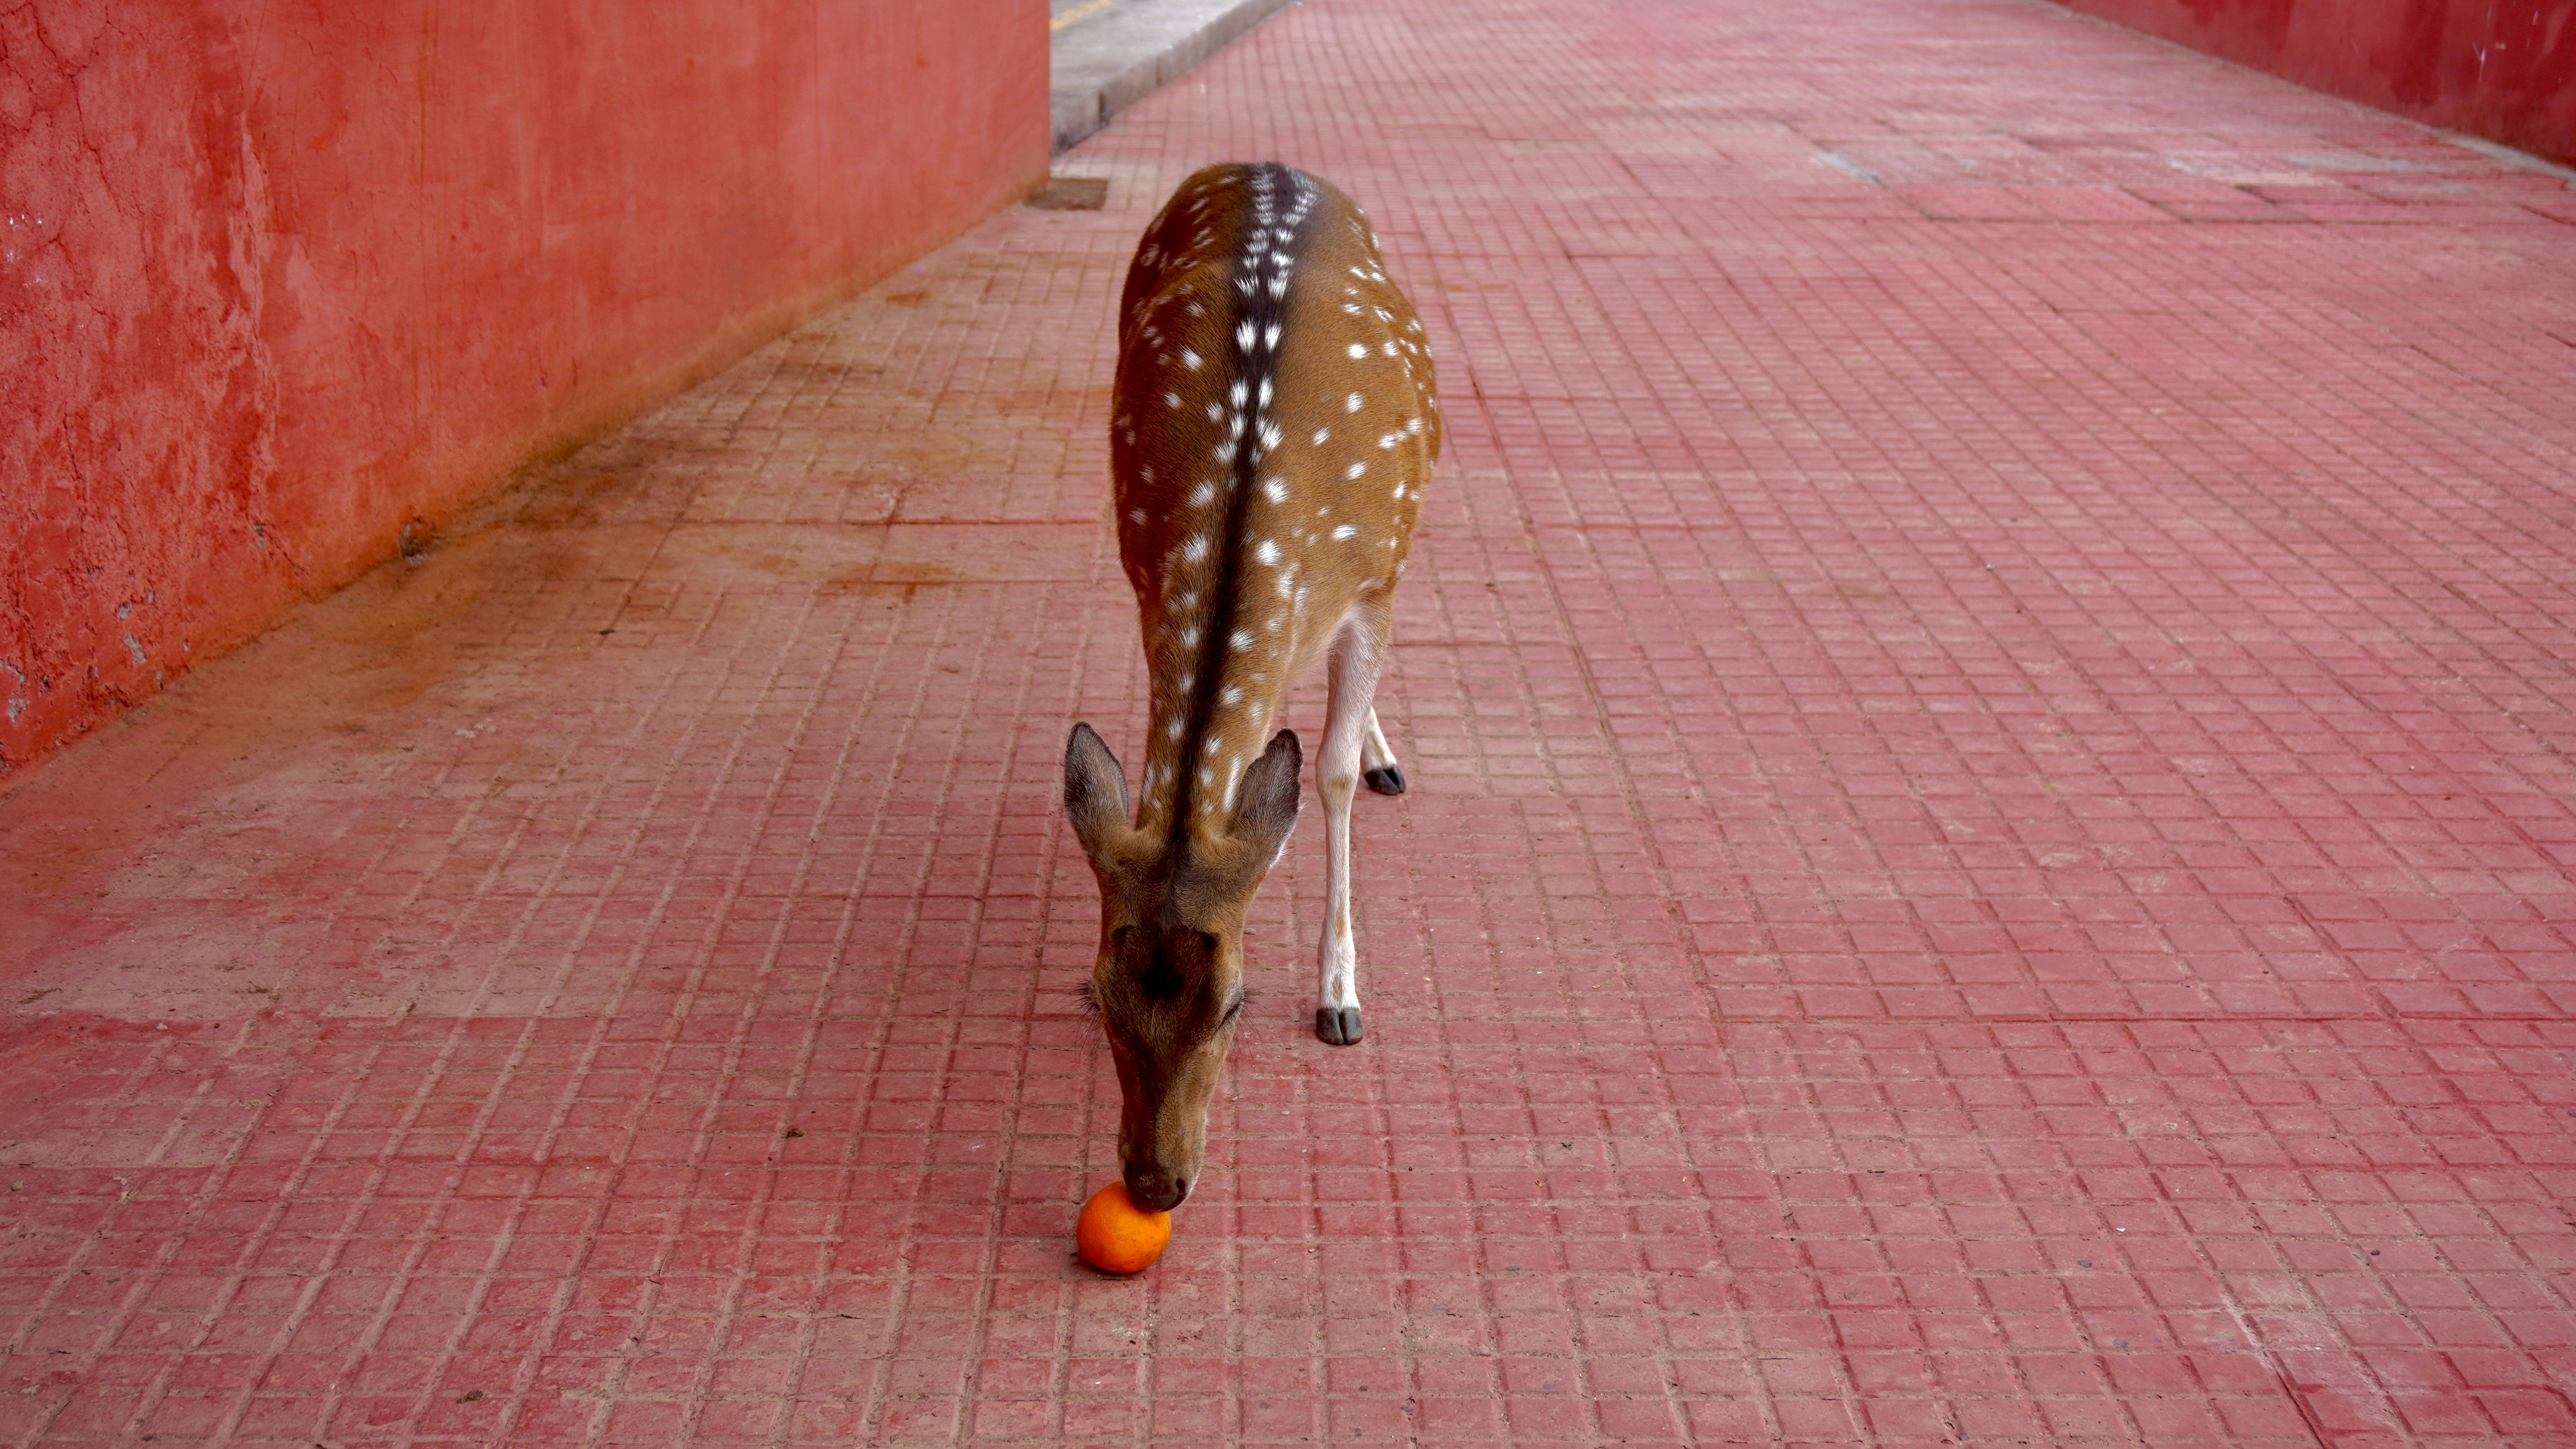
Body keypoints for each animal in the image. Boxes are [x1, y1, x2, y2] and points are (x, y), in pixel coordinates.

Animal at [1062, 162, 1439, 1213]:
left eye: (1235, 1001)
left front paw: (1341, 997)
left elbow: (1332, 776)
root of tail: (1268, 165)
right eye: (1100, 991)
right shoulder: (1148, 578)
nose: (1154, 1181)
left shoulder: (1374, 585)